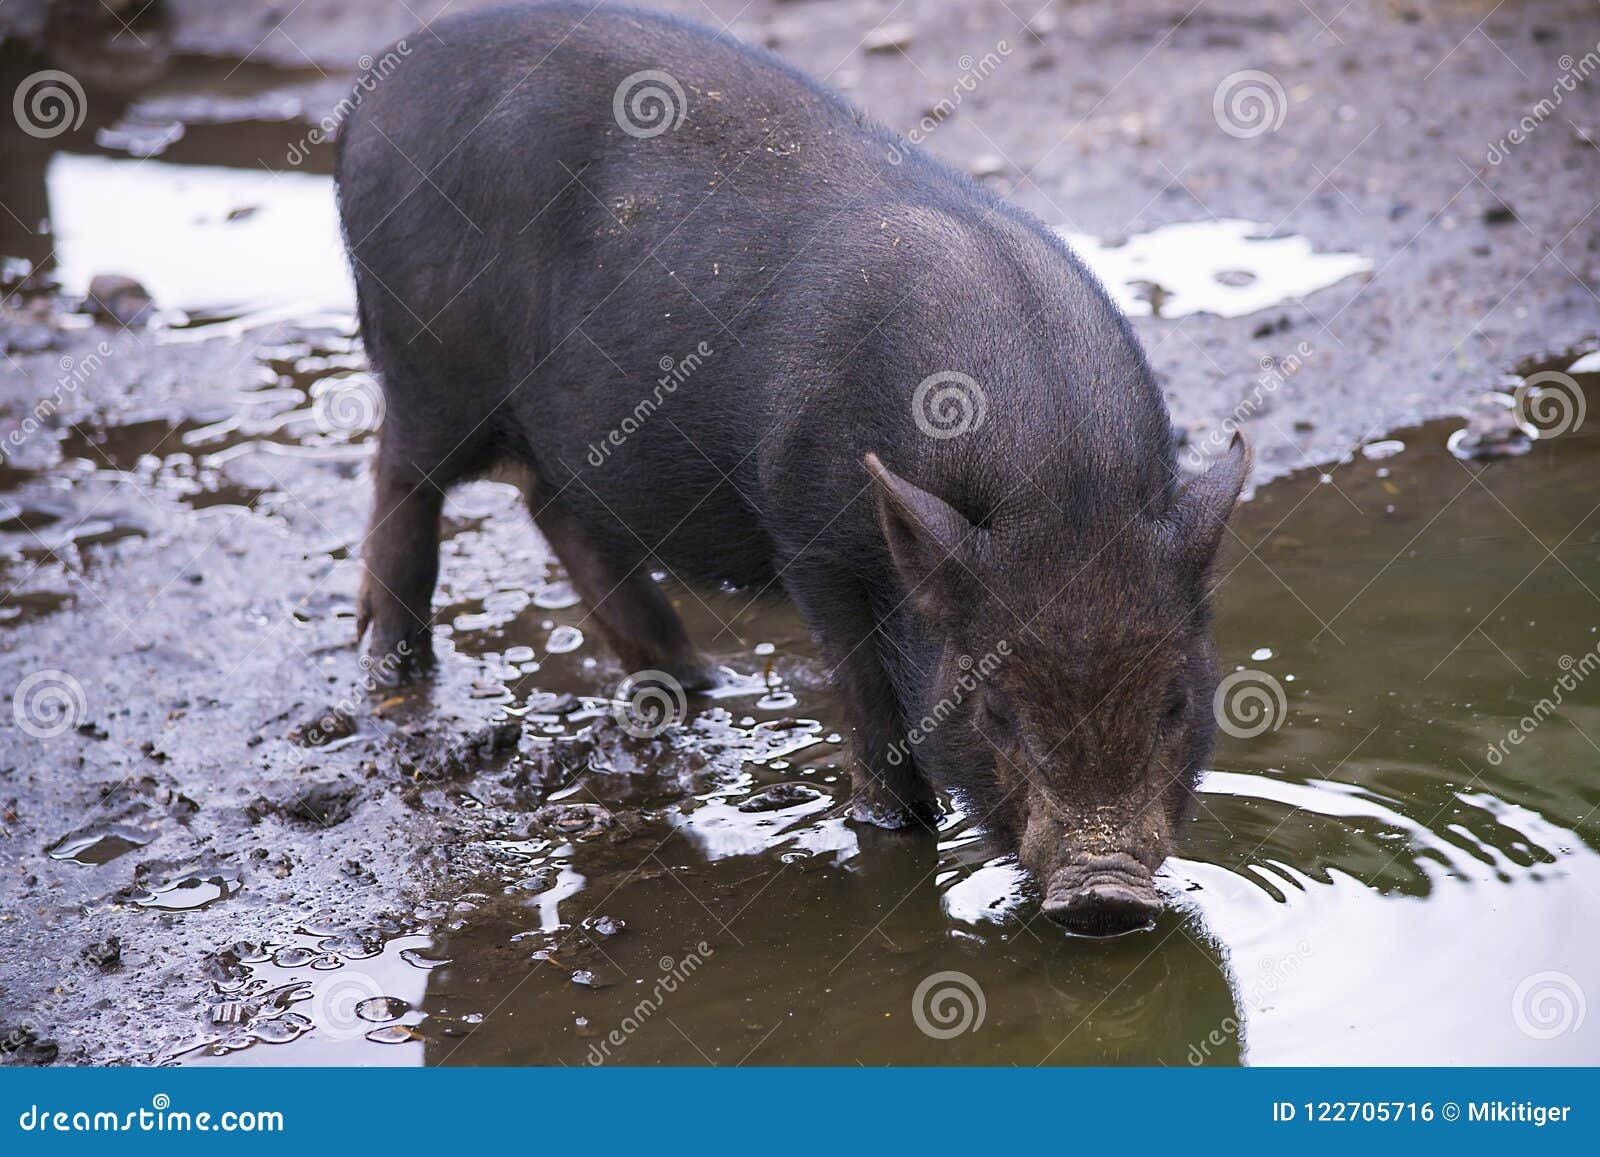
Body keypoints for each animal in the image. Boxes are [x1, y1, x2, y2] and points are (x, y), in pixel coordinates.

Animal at [335, 1, 1251, 936]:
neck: (1060, 479)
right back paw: (400, 682)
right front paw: (893, 824)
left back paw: (697, 681)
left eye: (1177, 700)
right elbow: (867, 695)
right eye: (995, 708)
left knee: (558, 511)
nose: (1105, 891)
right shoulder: (809, 536)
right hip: (428, 370)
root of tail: (374, 90)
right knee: (402, 482)